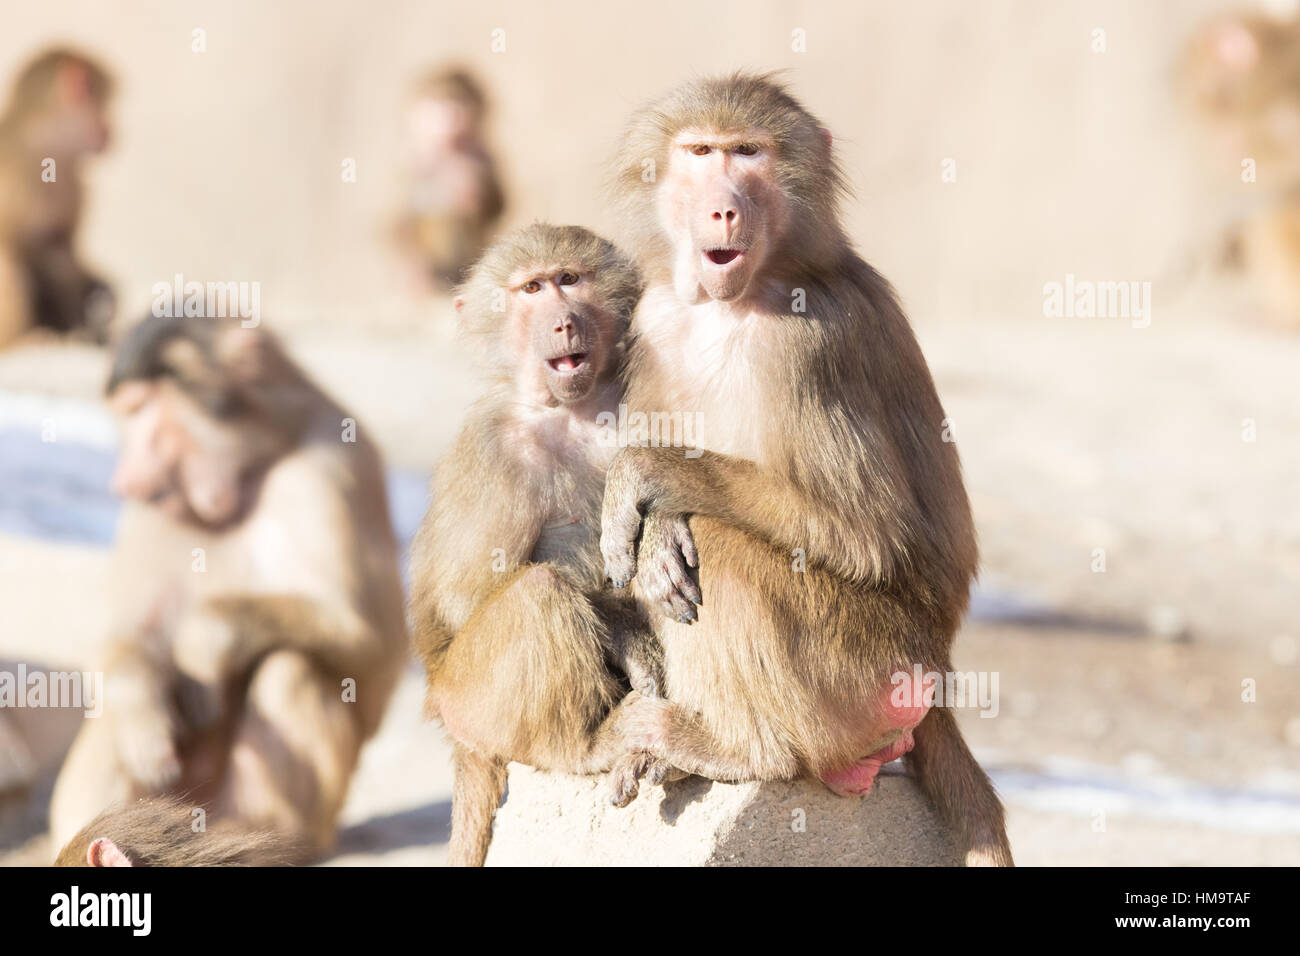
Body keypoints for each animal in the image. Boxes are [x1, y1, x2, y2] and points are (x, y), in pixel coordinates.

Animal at [393, 66, 506, 293]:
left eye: (461, 103)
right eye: (439, 103)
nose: (452, 116)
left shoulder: (486, 155)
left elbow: (497, 206)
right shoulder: (412, 164)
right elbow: (403, 217)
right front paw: (413, 273)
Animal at [408, 222, 674, 866]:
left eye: (569, 279)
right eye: (531, 289)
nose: (563, 322)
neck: (574, 408)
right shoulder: (493, 446)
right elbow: (464, 596)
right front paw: (628, 638)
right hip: (470, 699)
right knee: (538, 591)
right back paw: (588, 744)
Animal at [594, 73, 1014, 866]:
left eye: (748, 154)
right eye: (700, 153)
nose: (724, 207)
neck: (733, 301)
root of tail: (942, 672)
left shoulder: (810, 344)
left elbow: (866, 533)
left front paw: (647, 483)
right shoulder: (652, 324)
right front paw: (652, 535)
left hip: (874, 668)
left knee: (722, 547)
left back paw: (740, 750)